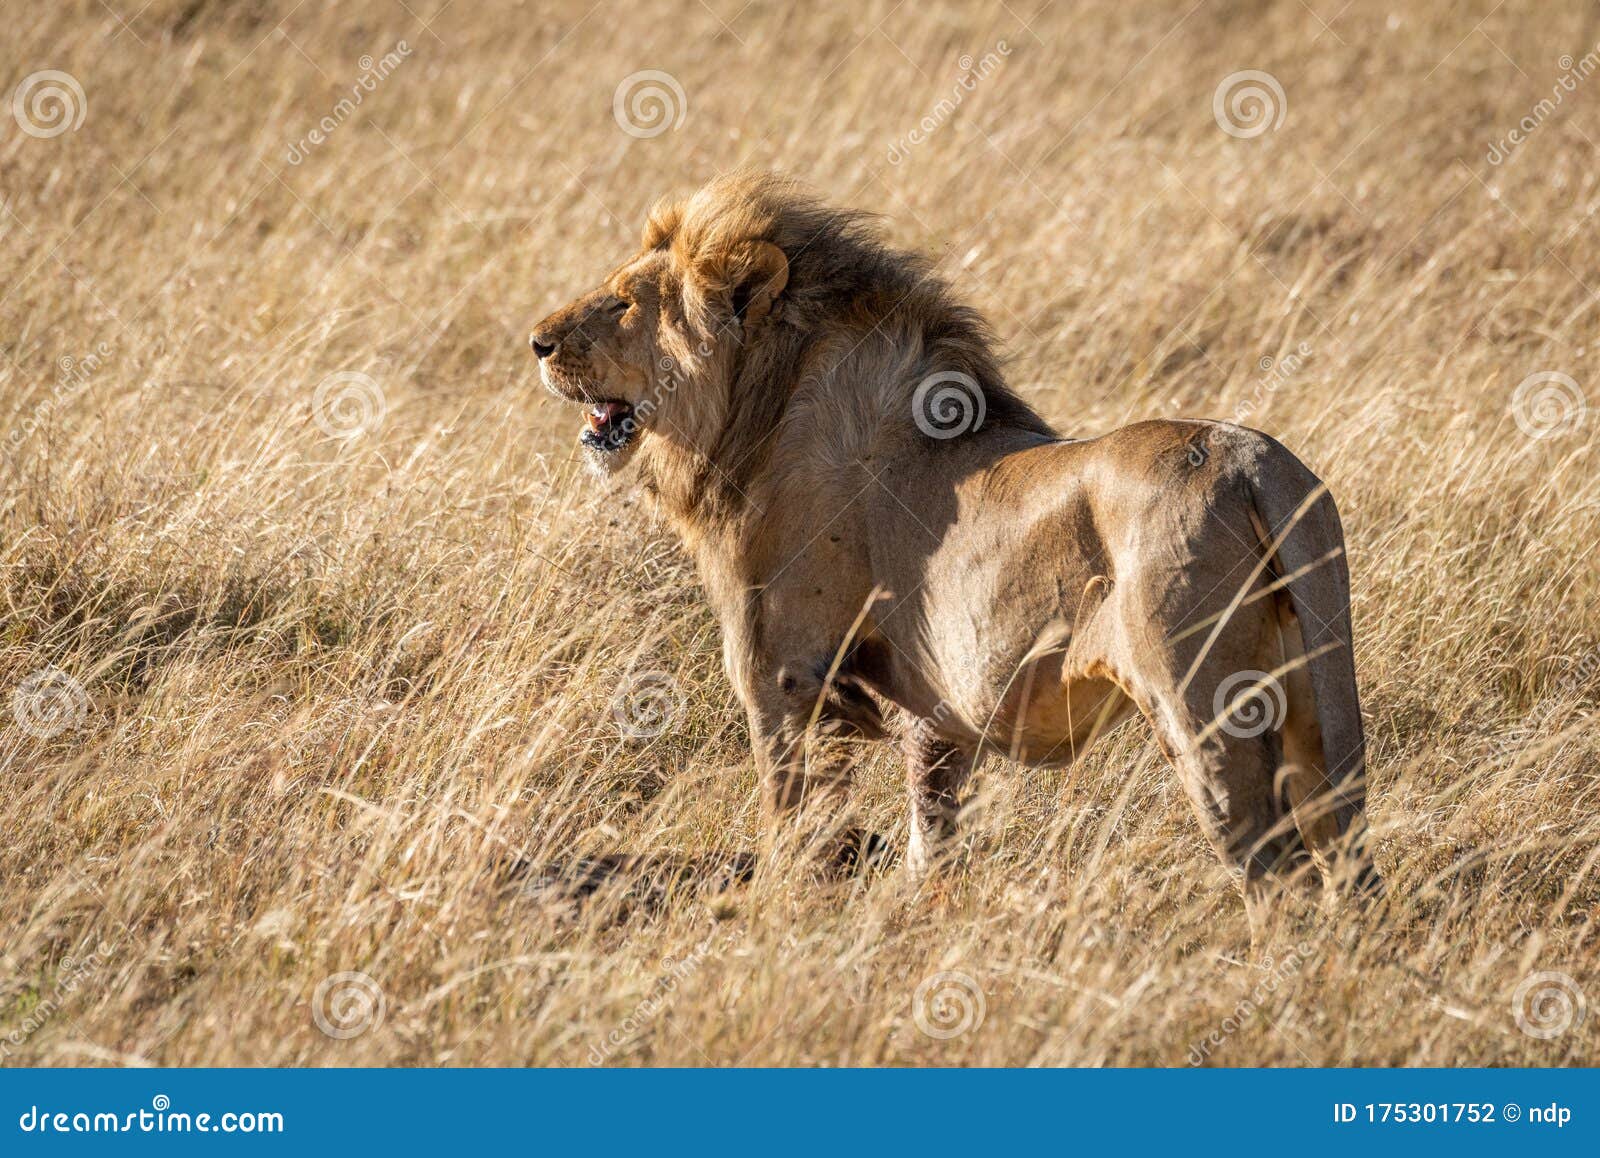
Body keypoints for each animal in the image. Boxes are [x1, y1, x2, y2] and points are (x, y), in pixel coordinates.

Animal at [529, 171, 1381, 937]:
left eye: (623, 302)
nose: (537, 341)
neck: (756, 408)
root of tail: (1251, 461)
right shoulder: (931, 705)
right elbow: (927, 833)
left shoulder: (781, 672)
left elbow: (791, 819)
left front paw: (776, 913)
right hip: (1320, 705)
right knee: (1344, 856)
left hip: (1199, 701)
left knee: (1273, 867)